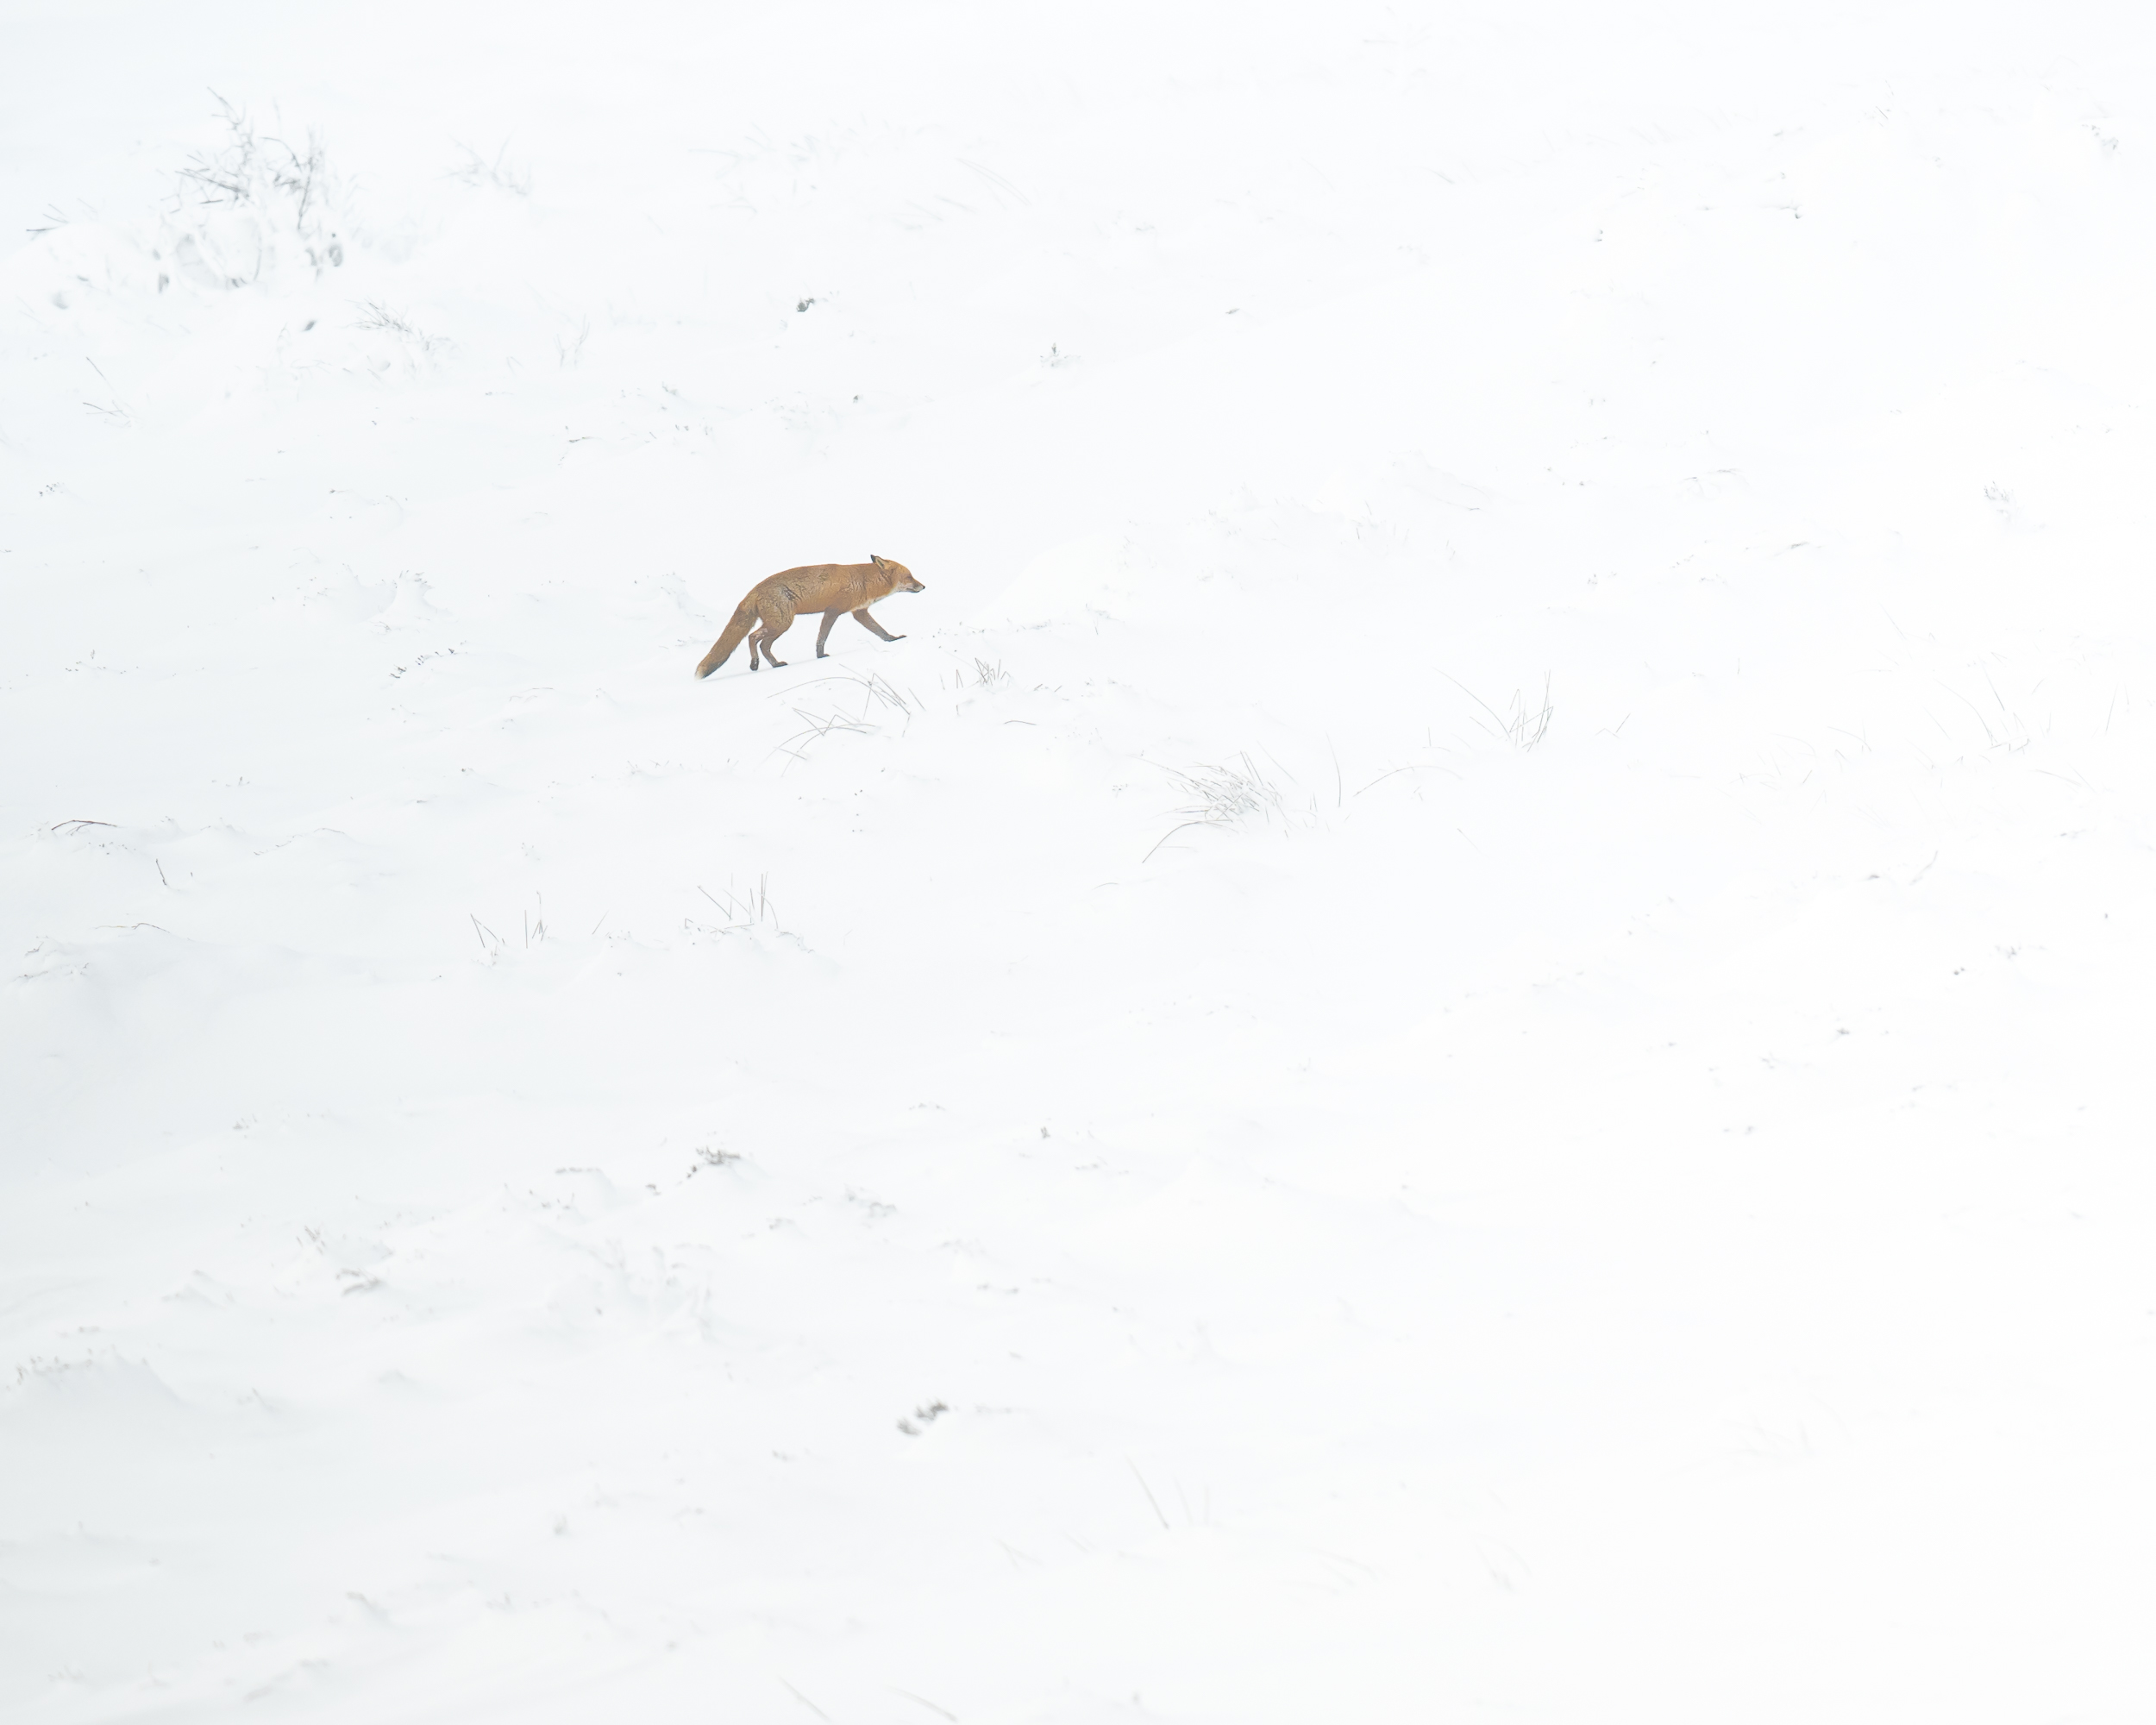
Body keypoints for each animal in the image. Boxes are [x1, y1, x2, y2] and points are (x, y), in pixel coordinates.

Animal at [694, 555, 926, 678]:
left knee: (763, 645)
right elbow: (822, 638)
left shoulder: (859, 613)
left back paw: (773, 665)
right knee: (753, 638)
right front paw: (821, 657)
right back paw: (755, 664)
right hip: (782, 623)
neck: (864, 581)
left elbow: (880, 631)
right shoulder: (832, 611)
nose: (923, 586)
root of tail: (754, 590)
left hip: (779, 625)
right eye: (909, 577)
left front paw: (893, 640)